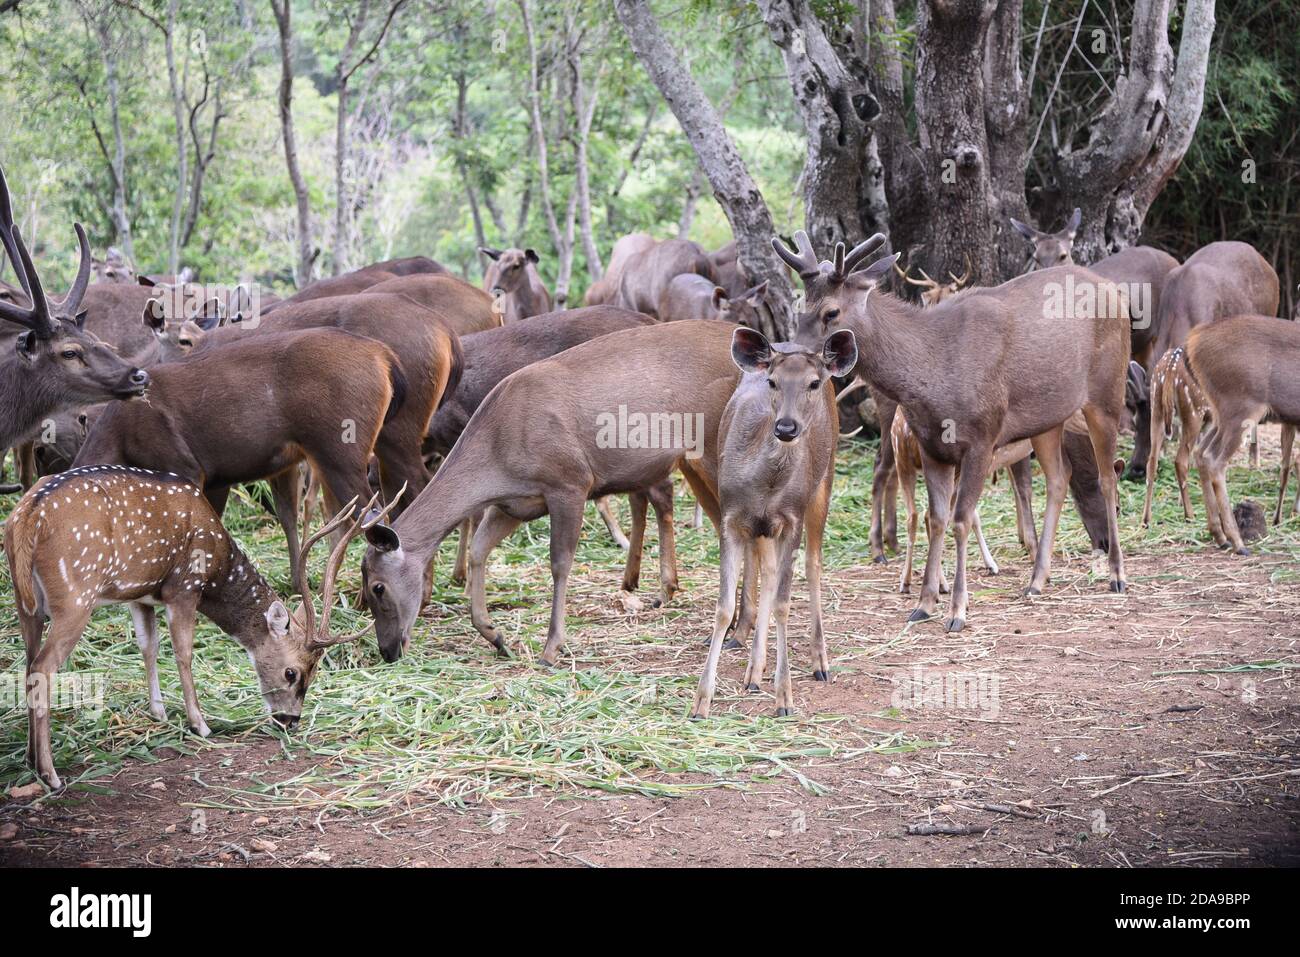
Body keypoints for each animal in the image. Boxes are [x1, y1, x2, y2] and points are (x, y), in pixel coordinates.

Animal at [4, 466, 398, 789]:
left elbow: (149, 646)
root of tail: (25, 518)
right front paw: (200, 724)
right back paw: (51, 774)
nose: (291, 720)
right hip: (75, 597)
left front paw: (159, 713)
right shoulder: (183, 587)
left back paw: (30, 758)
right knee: (42, 667)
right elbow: (183, 653)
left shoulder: (141, 595)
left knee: (27, 664)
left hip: (27, 604)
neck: (217, 567)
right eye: (292, 673)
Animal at [360, 320, 742, 665]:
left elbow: (559, 563)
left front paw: (551, 647)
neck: (498, 458)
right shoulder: (515, 504)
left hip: (714, 447)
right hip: (690, 463)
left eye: (378, 587)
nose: (388, 652)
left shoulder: (569, 482)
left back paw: (736, 630)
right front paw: (495, 636)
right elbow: (478, 550)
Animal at [691, 327, 852, 719]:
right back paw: (753, 672)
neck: (765, 486)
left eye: (813, 382)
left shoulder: (791, 519)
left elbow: (783, 603)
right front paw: (701, 701)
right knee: (768, 569)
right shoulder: (733, 517)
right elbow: (724, 607)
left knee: (813, 564)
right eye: (772, 381)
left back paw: (819, 662)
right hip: (763, 528)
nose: (786, 427)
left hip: (823, 483)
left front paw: (784, 698)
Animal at [776, 230, 1130, 632]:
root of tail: (1115, 293)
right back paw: (1036, 580)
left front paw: (957, 610)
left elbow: (961, 520)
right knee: (1059, 478)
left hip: (1107, 393)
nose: (790, 361)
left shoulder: (982, 437)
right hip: (1047, 419)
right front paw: (924, 603)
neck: (931, 372)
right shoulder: (932, 447)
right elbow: (937, 519)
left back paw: (1117, 575)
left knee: (1106, 477)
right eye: (800, 309)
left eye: (831, 312)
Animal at [1184, 315, 1300, 553]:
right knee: (1215, 459)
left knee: (1201, 452)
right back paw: (1237, 541)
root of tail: (1194, 340)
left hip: (1221, 412)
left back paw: (1220, 536)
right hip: (1242, 406)